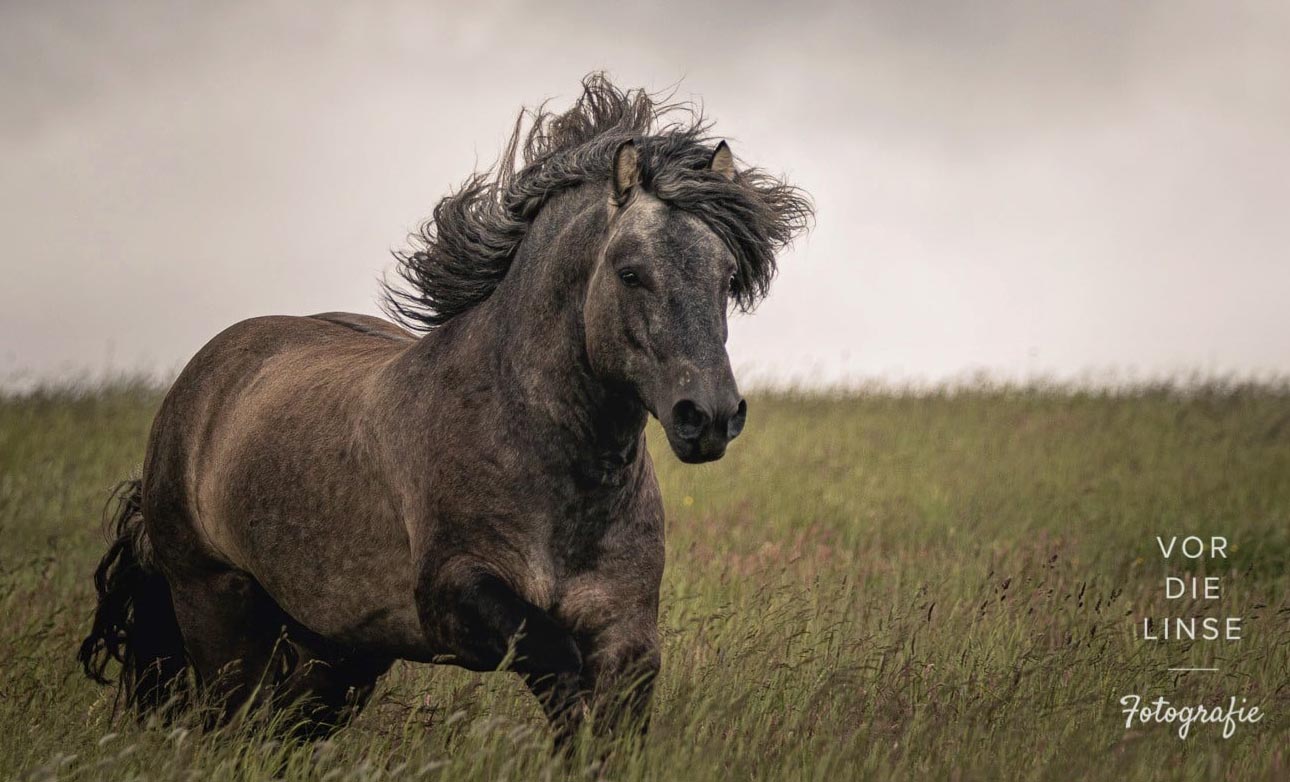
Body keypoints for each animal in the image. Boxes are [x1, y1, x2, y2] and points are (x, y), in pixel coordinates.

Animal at [78, 74, 811, 747]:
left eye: (726, 276)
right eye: (630, 271)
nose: (708, 417)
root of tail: (199, 384)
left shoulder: (627, 633)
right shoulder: (462, 598)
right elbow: (558, 670)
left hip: (336, 648)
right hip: (218, 606)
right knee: (230, 723)